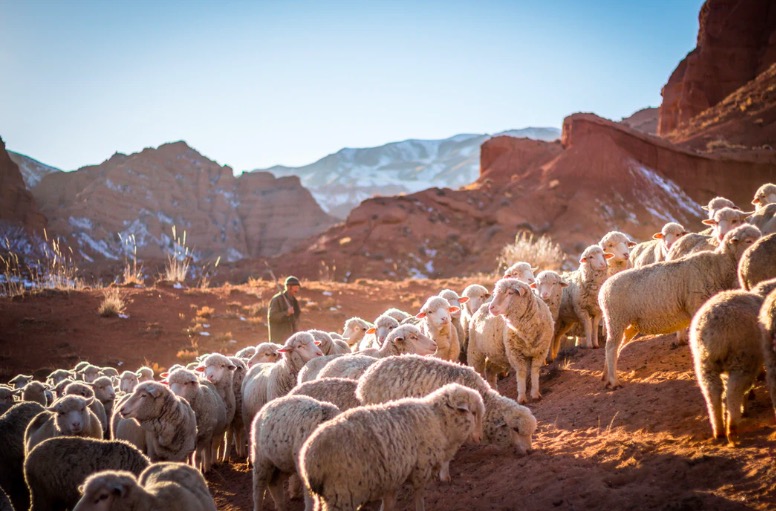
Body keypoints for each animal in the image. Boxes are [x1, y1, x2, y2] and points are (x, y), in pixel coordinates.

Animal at [300, 383, 483, 511]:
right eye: (473, 413)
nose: (479, 439)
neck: (438, 420)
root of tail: (309, 459)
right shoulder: (420, 470)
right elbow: (419, 498)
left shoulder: (392, 477)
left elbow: (388, 504)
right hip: (341, 492)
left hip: (326, 495)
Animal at [600, 224, 762, 389]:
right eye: (748, 241)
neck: (719, 266)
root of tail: (603, 288)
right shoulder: (696, 305)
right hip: (616, 319)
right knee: (611, 347)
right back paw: (614, 381)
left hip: (630, 325)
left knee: (616, 347)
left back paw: (606, 376)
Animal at [689, 289, 768, 443]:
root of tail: (716, 331)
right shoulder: (753, 362)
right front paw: (746, 407)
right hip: (741, 359)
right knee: (734, 391)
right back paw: (732, 427)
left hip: (705, 364)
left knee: (712, 393)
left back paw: (719, 429)